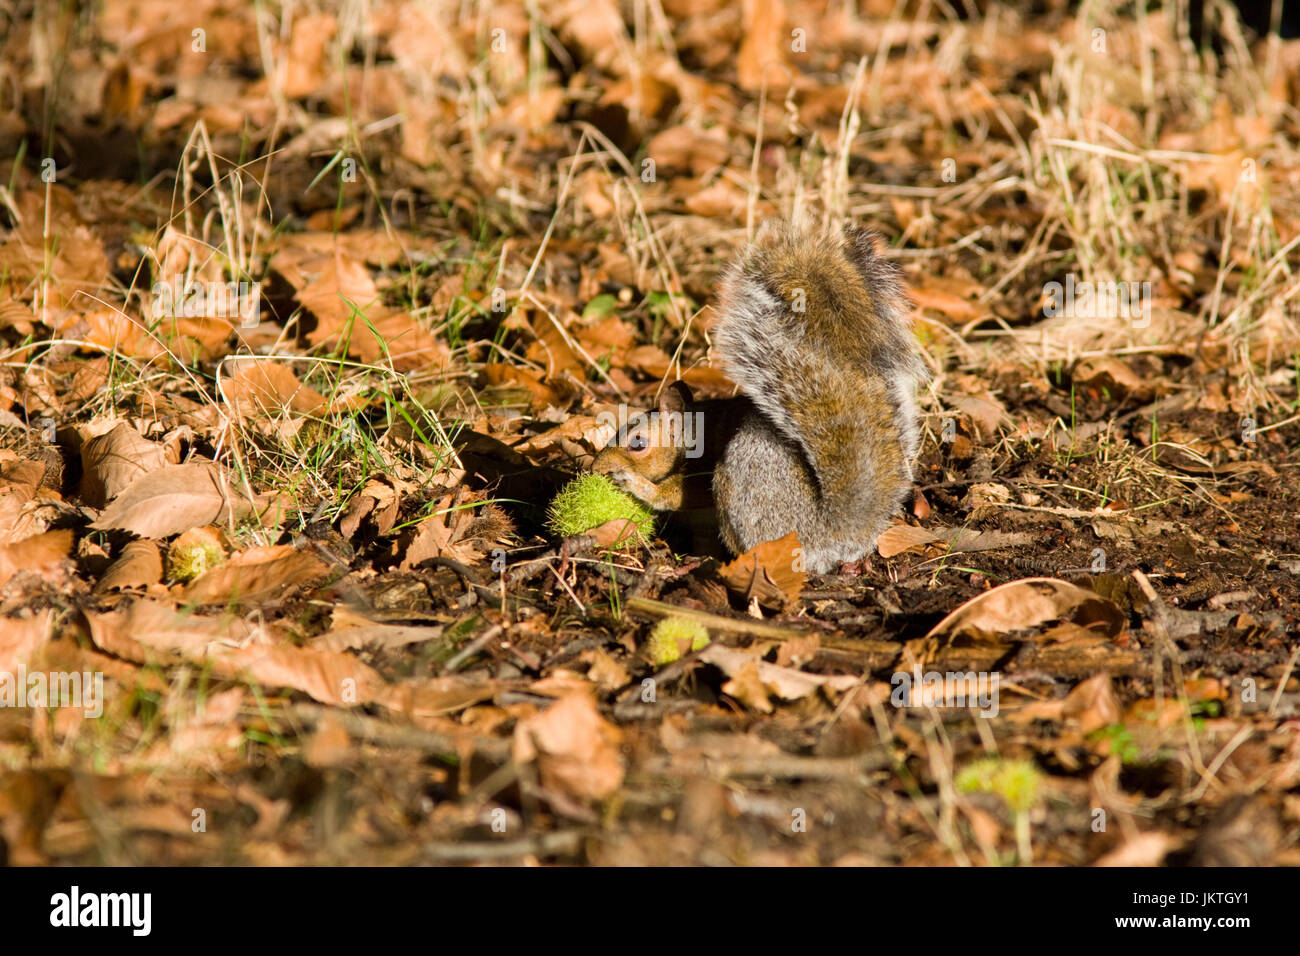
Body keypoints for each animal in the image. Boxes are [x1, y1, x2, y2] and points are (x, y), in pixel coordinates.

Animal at [593, 220, 927, 574]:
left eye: (638, 443)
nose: (596, 469)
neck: (691, 435)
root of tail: (828, 536)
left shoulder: (699, 476)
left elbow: (674, 496)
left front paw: (636, 484)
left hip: (746, 474)